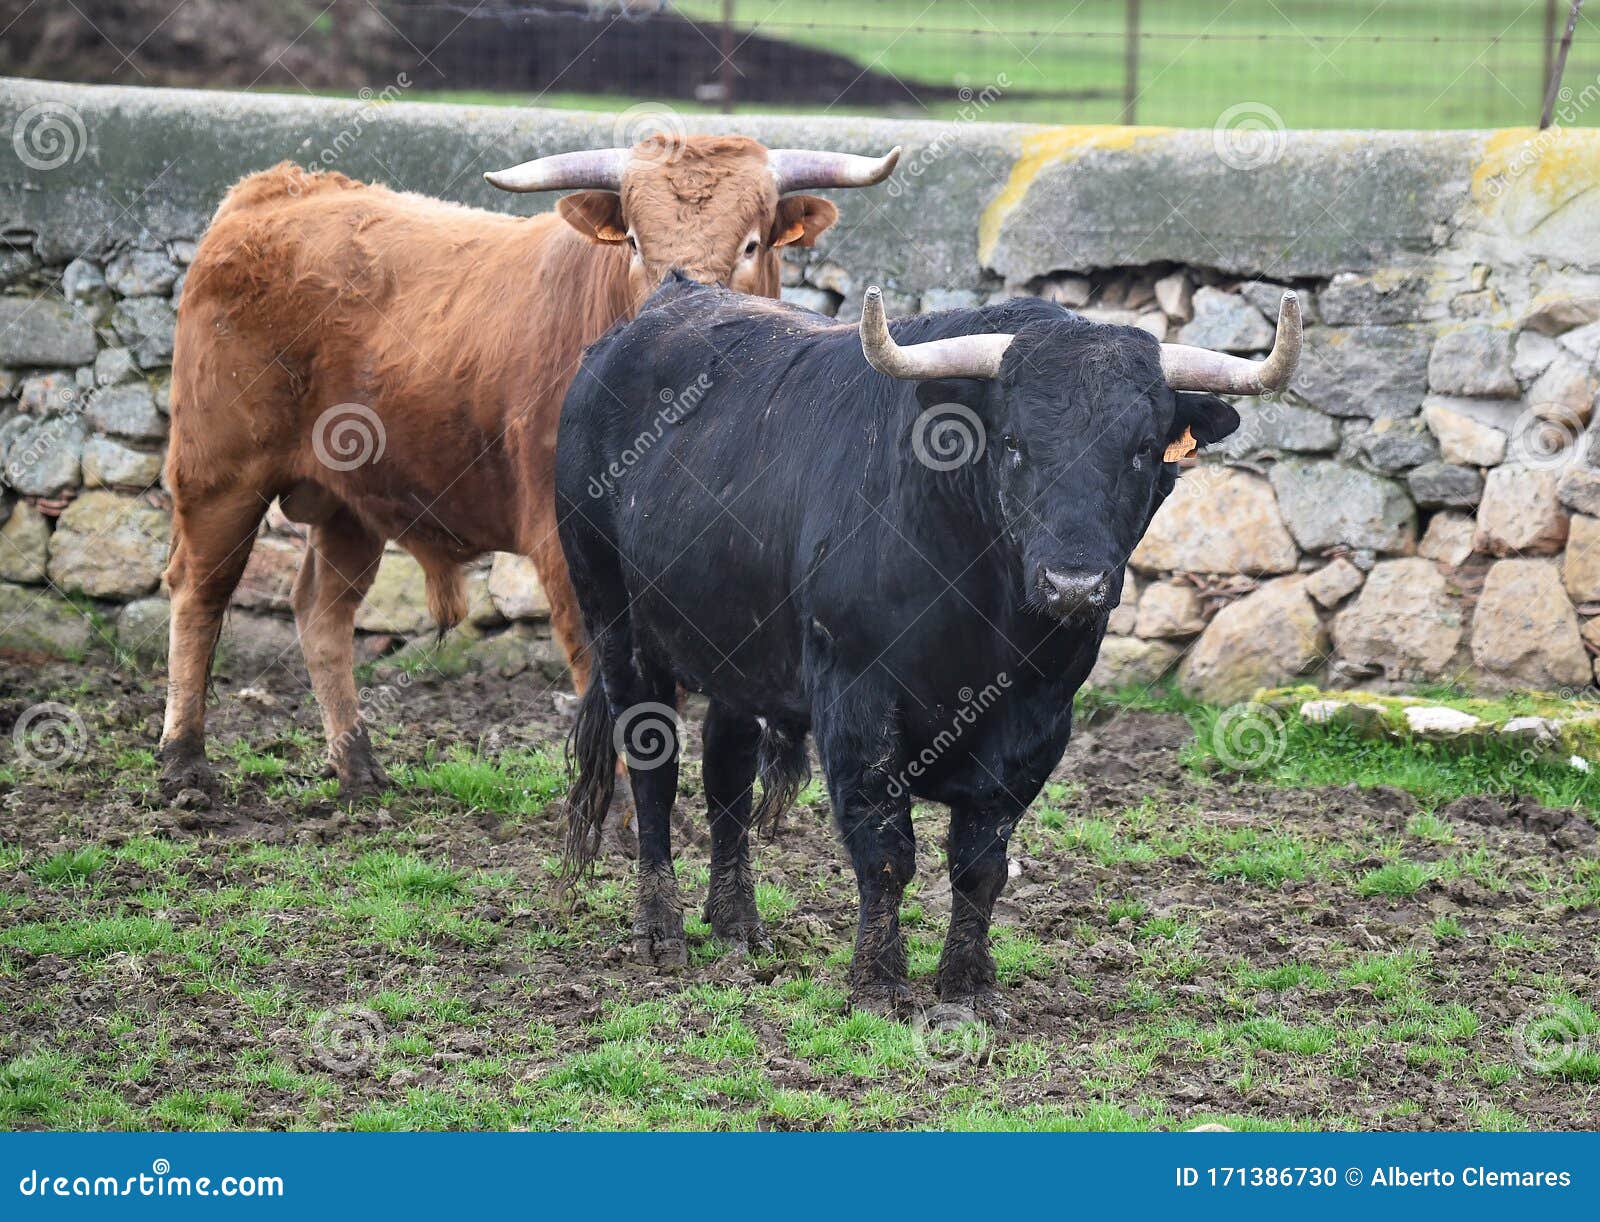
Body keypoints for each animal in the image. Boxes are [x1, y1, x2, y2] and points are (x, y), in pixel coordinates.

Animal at [159, 135, 899, 799]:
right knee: (200, 595)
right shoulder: (567, 546)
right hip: (220, 473)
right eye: (635, 241)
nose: (687, 307)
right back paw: (184, 764)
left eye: (751, 243)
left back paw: (358, 767)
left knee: (321, 611)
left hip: (350, 503)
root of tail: (275, 190)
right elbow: (605, 673)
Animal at [555, 276, 1300, 1015]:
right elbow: (885, 847)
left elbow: (980, 862)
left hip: (735, 652)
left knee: (726, 775)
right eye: (1012, 441)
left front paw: (967, 985)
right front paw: (878, 983)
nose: (1074, 584)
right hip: (616, 624)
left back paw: (738, 924)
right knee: (653, 771)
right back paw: (661, 930)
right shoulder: (856, 698)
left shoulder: (1039, 720)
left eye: (1143, 447)